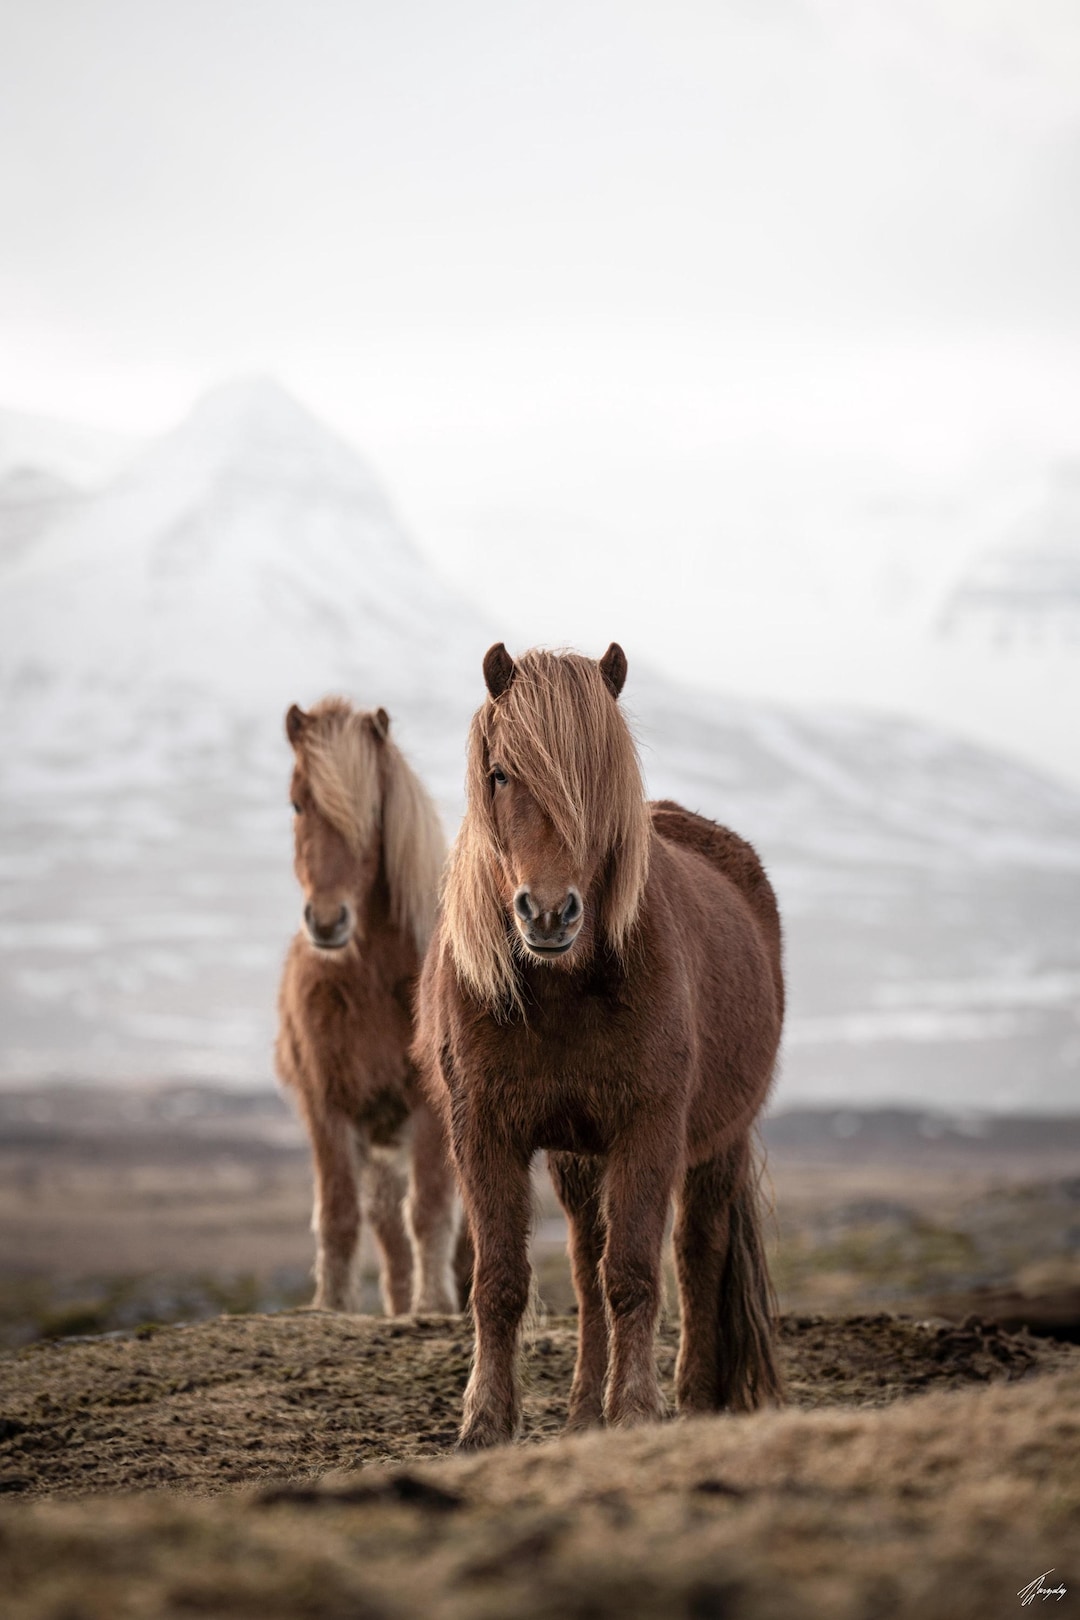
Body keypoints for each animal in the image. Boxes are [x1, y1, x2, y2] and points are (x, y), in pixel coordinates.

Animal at [276, 696, 463, 1316]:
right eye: (297, 802)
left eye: (373, 812)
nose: (327, 921)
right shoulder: (326, 1107)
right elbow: (338, 1216)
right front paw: (330, 1305)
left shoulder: (430, 1108)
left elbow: (430, 1209)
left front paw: (434, 1307)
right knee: (383, 1221)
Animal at [414, 643, 784, 1448]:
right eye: (501, 774)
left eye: (602, 780)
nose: (549, 913)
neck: (560, 991)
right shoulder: (485, 1131)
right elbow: (501, 1281)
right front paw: (484, 1423)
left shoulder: (649, 1128)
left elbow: (636, 1274)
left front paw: (637, 1410)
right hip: (577, 1154)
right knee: (586, 1262)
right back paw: (584, 1413)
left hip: (716, 1143)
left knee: (696, 1252)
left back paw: (693, 1399)